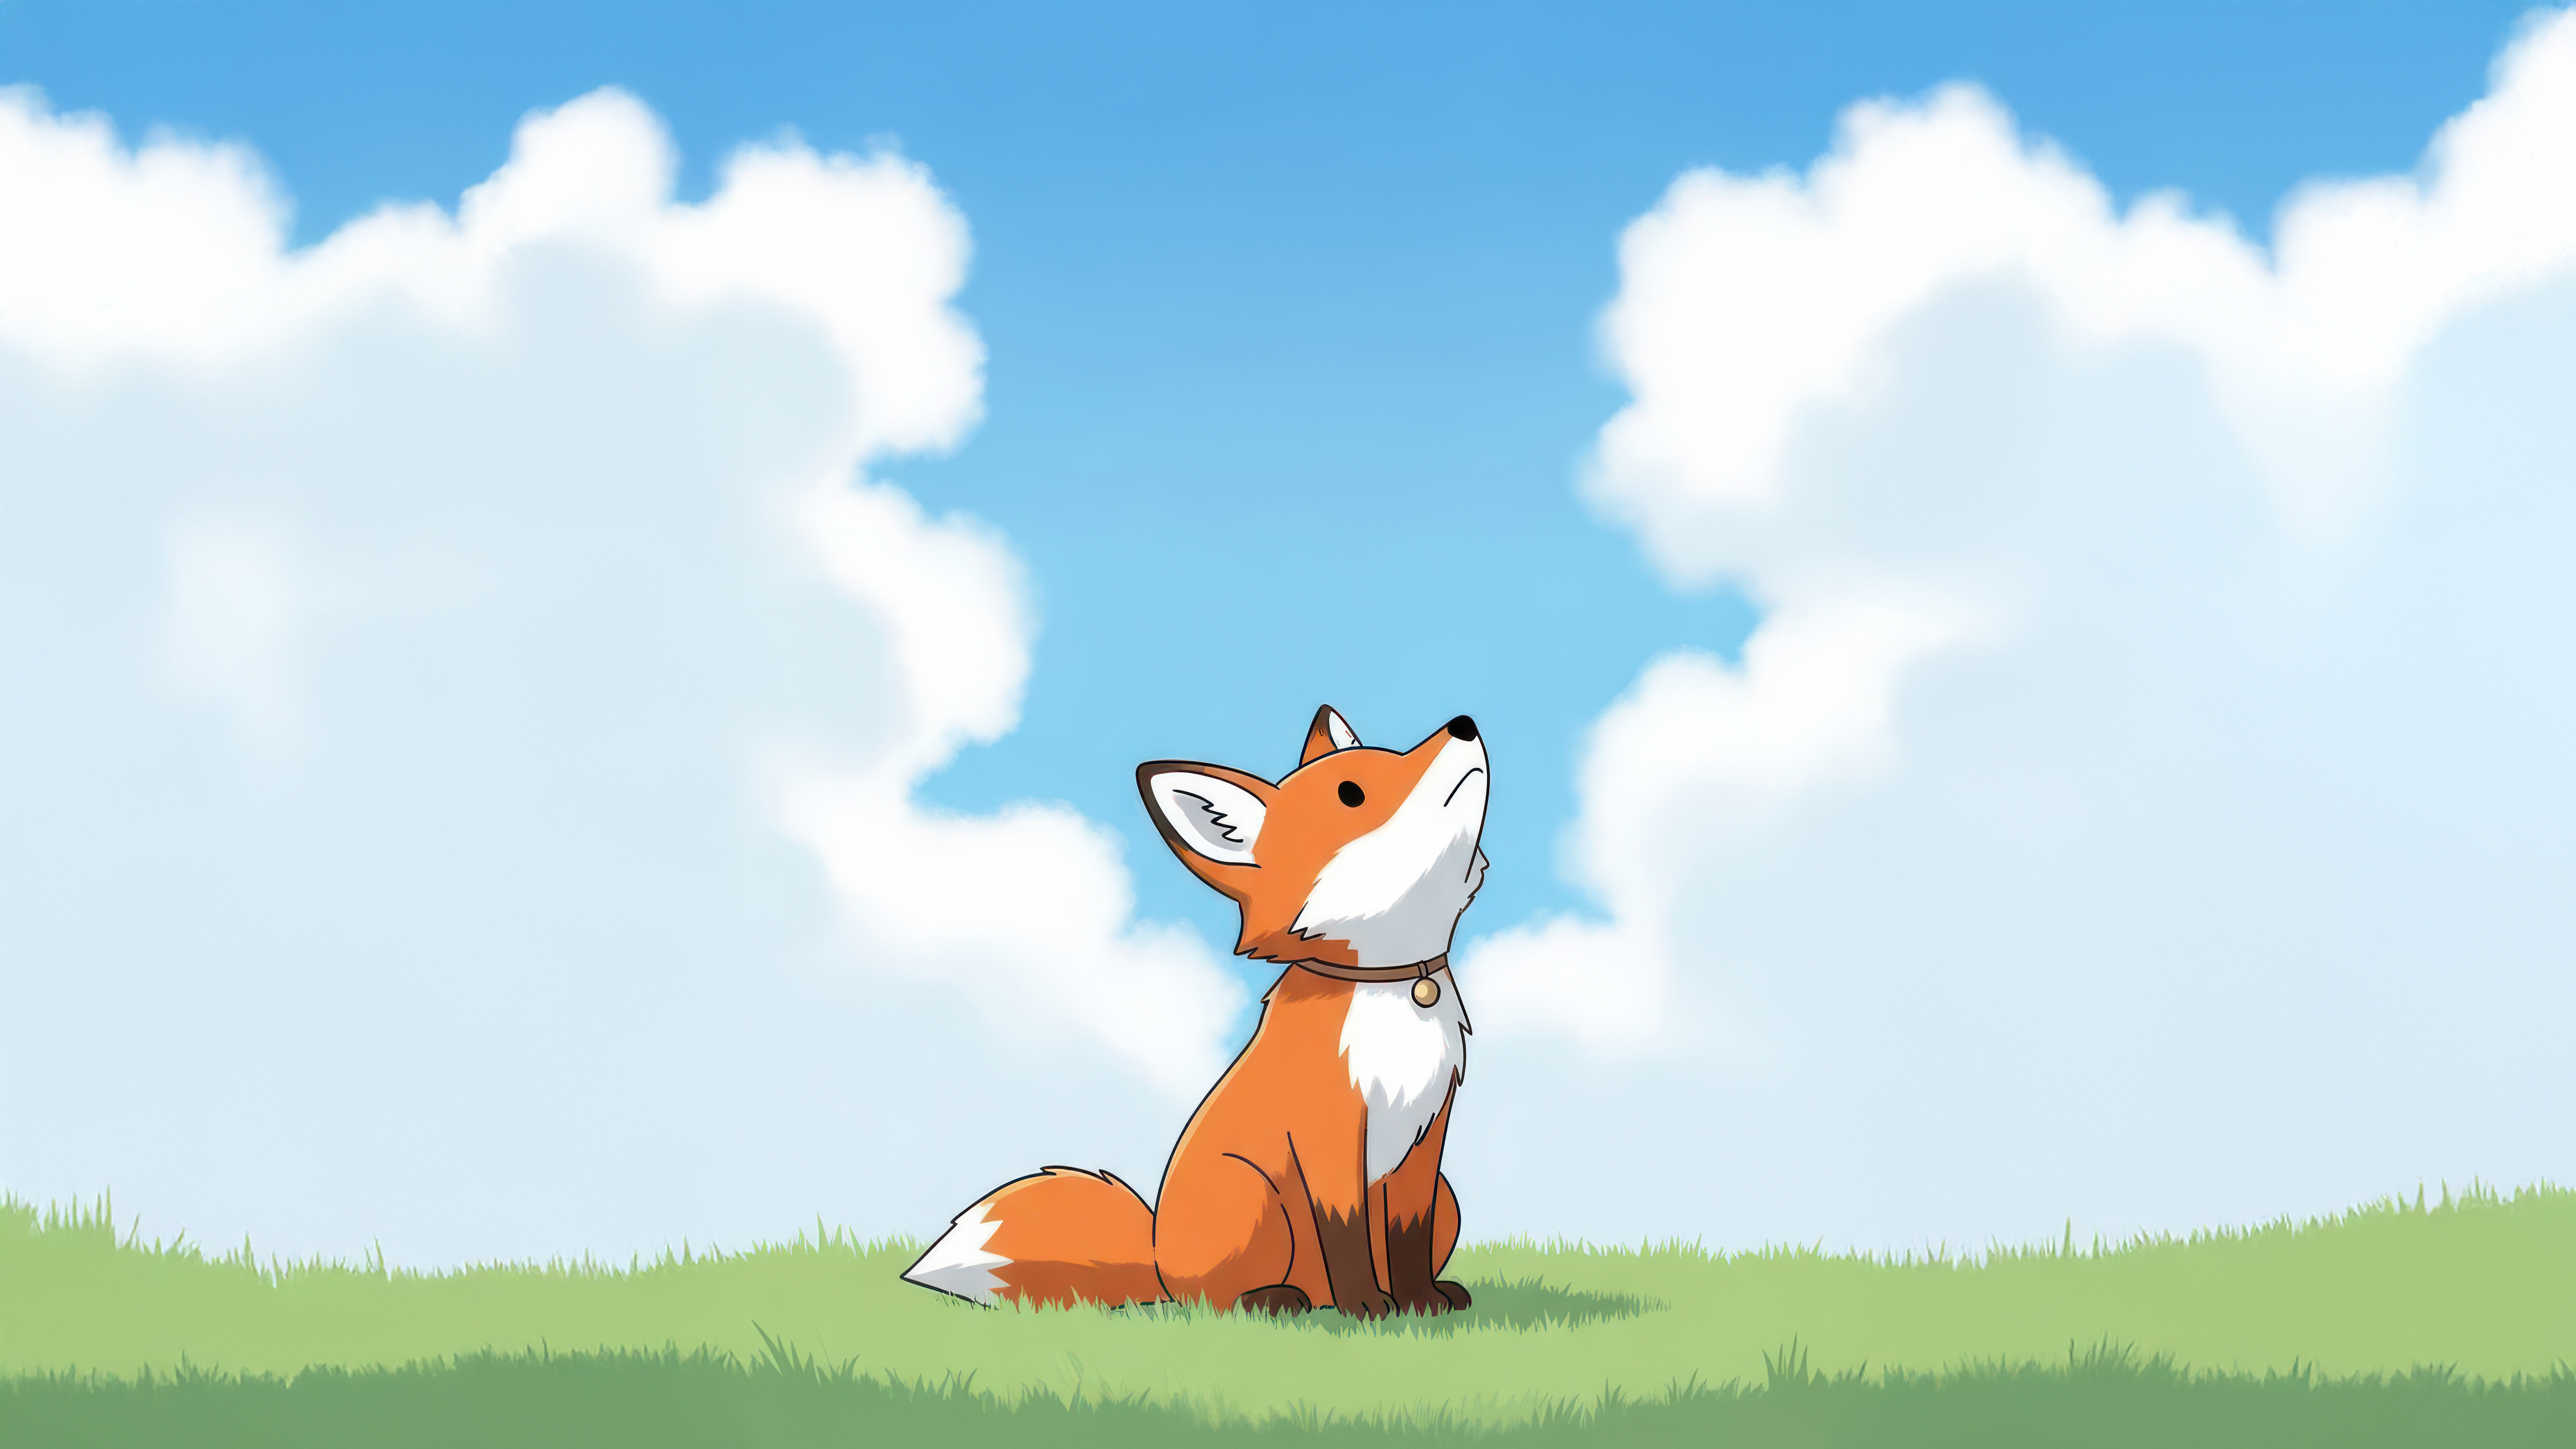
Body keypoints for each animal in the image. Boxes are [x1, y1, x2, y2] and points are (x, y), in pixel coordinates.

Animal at [902, 706, 1490, 1318]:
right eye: (1351, 793)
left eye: (1394, 755)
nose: (1464, 723)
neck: (1391, 989)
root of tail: (1158, 1258)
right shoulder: (1328, 1141)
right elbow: (1347, 1238)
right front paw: (1369, 1308)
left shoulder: (1425, 1141)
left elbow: (1406, 1237)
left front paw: (1420, 1301)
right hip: (1251, 1195)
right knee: (1213, 1297)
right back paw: (1282, 1300)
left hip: (1445, 1195)